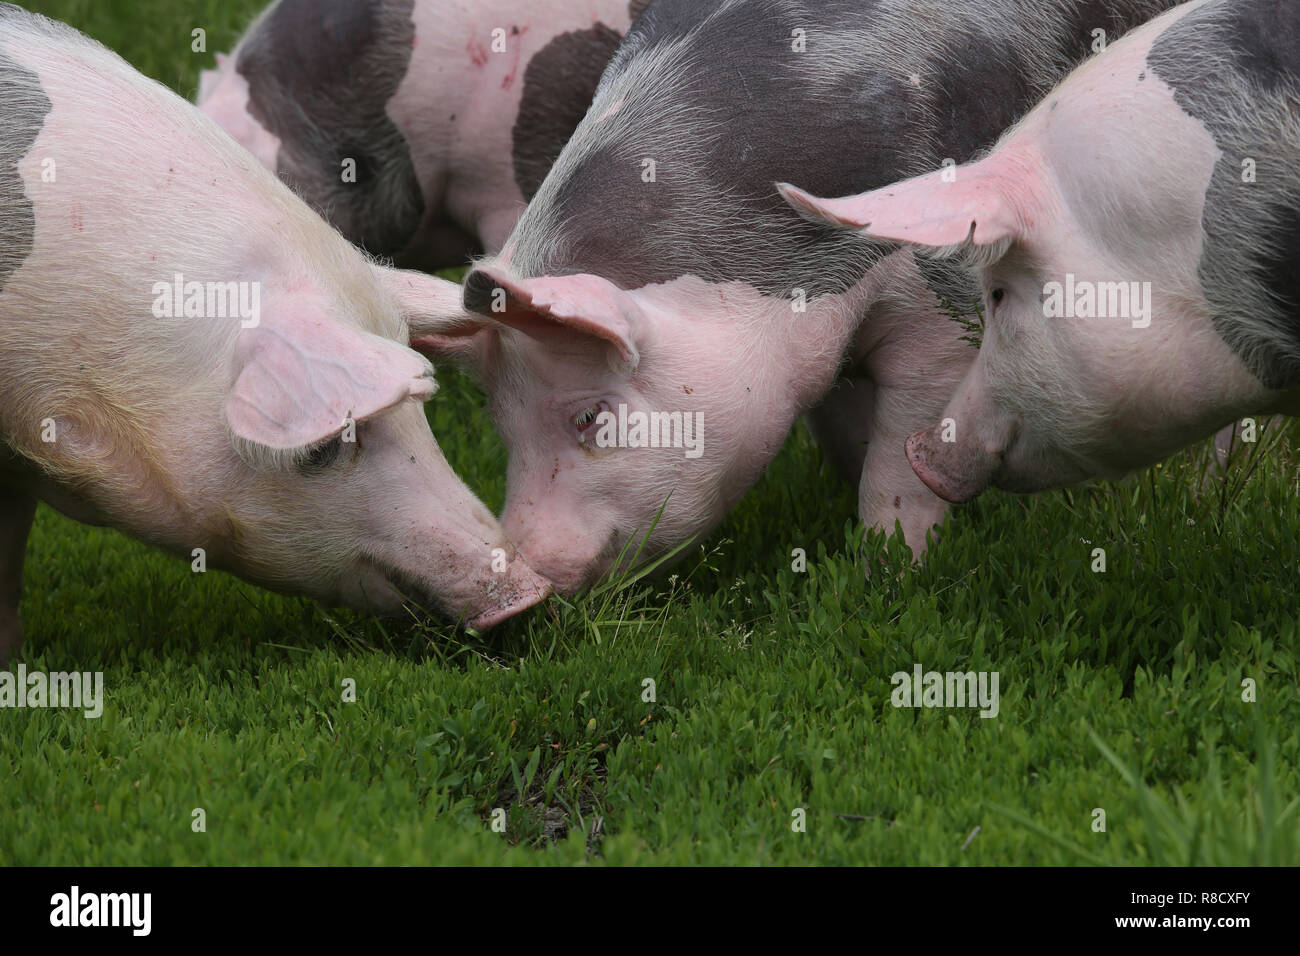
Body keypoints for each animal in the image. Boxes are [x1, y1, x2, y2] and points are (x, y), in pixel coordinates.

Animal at [390, 0, 1185, 593]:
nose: (531, 576)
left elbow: (902, 459)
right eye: (500, 424)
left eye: (589, 417)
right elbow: (847, 439)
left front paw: (888, 571)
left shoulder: (937, 309)